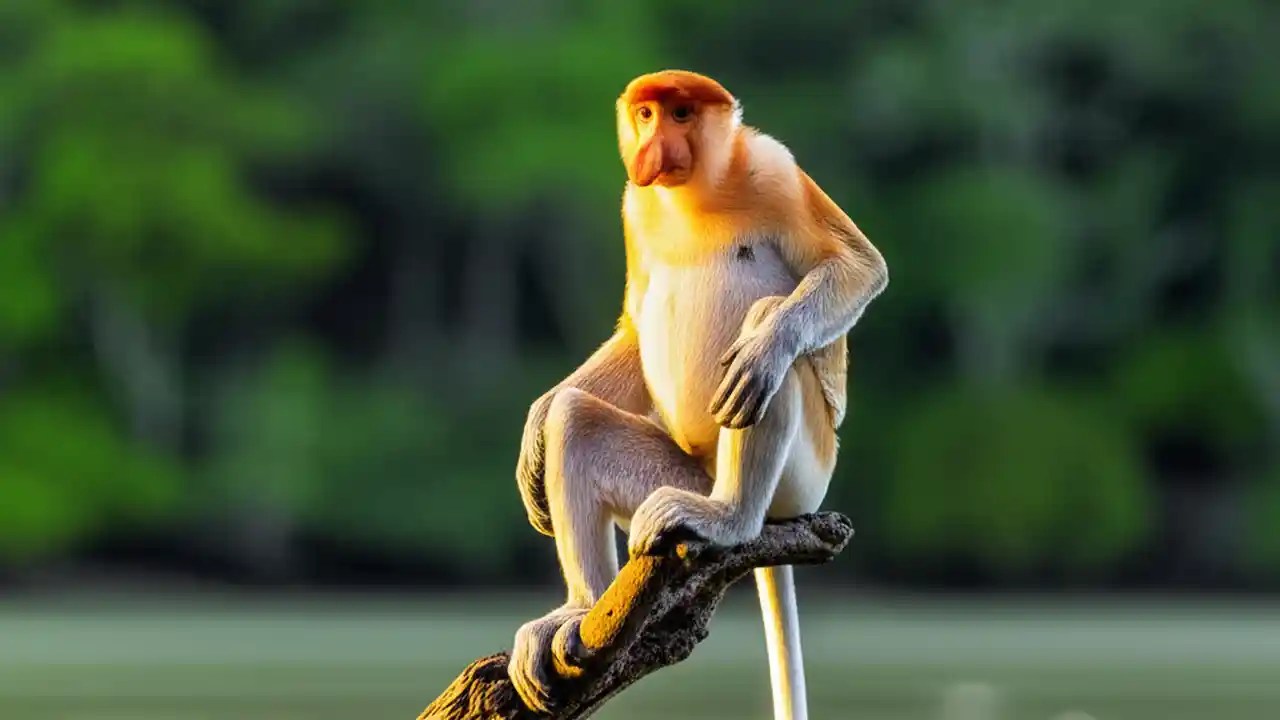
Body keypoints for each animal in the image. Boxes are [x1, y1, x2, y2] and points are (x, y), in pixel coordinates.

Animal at [509, 70, 888, 720]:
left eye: (682, 114)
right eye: (646, 114)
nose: (654, 149)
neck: (695, 195)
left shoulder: (774, 169)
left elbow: (859, 266)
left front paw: (769, 346)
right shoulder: (634, 208)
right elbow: (636, 323)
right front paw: (533, 434)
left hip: (805, 475)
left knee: (766, 337)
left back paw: (728, 517)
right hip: (677, 475)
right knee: (578, 421)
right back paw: (578, 613)